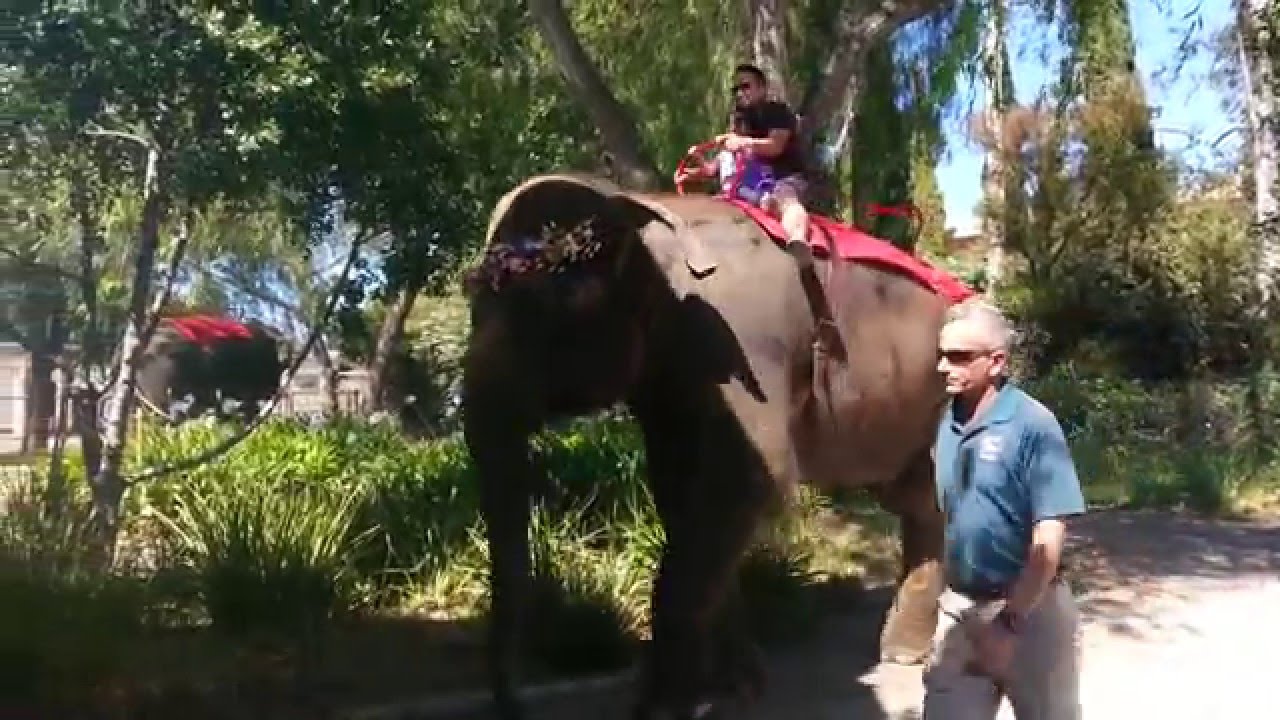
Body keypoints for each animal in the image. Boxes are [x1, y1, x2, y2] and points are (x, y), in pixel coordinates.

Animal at [460, 173, 974, 719]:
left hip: (949, 385)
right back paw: (903, 651)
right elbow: (681, 490)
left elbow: (745, 481)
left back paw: (906, 655)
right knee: (913, 499)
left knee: (928, 496)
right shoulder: (671, 376)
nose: (515, 707)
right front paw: (735, 687)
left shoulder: (744, 343)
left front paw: (660, 711)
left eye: (551, 319)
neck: (641, 215)